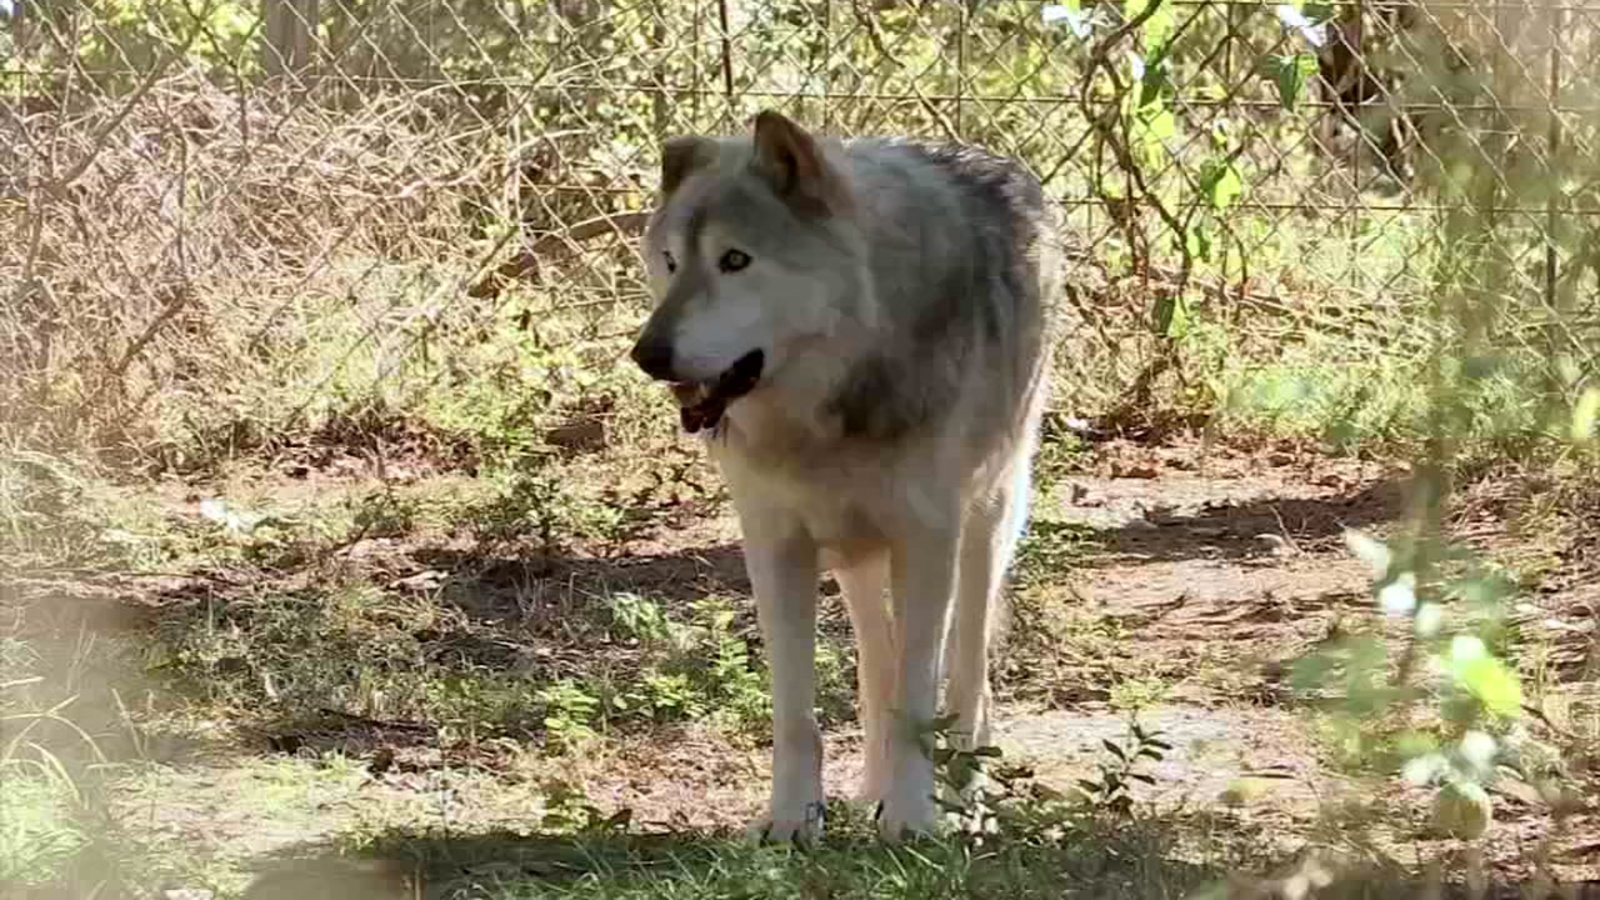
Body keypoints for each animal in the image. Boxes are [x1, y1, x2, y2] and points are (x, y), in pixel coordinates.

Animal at [627, 110, 1060, 843]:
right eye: (671, 262)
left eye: (735, 260)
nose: (648, 355)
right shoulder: (775, 544)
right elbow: (798, 712)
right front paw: (791, 822)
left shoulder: (928, 540)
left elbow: (921, 695)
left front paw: (914, 823)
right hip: (853, 557)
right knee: (876, 667)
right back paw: (873, 791)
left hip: (985, 528)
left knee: (967, 673)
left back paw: (964, 800)